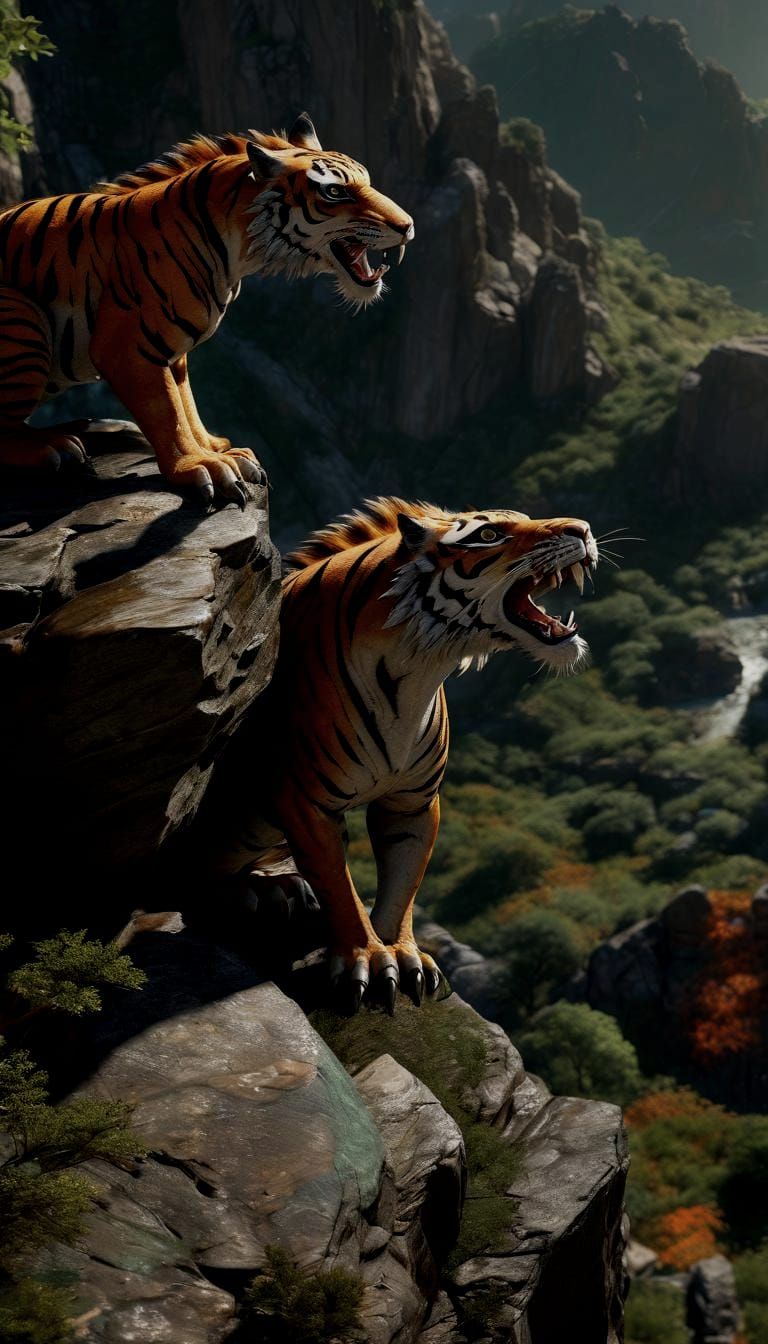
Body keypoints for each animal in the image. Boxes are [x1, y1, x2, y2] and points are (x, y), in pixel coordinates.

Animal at [0, 112, 414, 506]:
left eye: (367, 181)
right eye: (335, 191)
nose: (407, 225)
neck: (238, 249)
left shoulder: (171, 350)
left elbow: (185, 404)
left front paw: (219, 450)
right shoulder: (128, 349)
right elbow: (166, 413)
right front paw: (200, 466)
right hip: (24, 320)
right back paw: (55, 446)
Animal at [204, 498, 598, 1012]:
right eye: (489, 535)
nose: (583, 529)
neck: (417, 668)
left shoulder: (413, 801)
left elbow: (403, 883)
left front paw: (402, 954)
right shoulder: (306, 803)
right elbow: (340, 885)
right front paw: (367, 957)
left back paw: (276, 888)